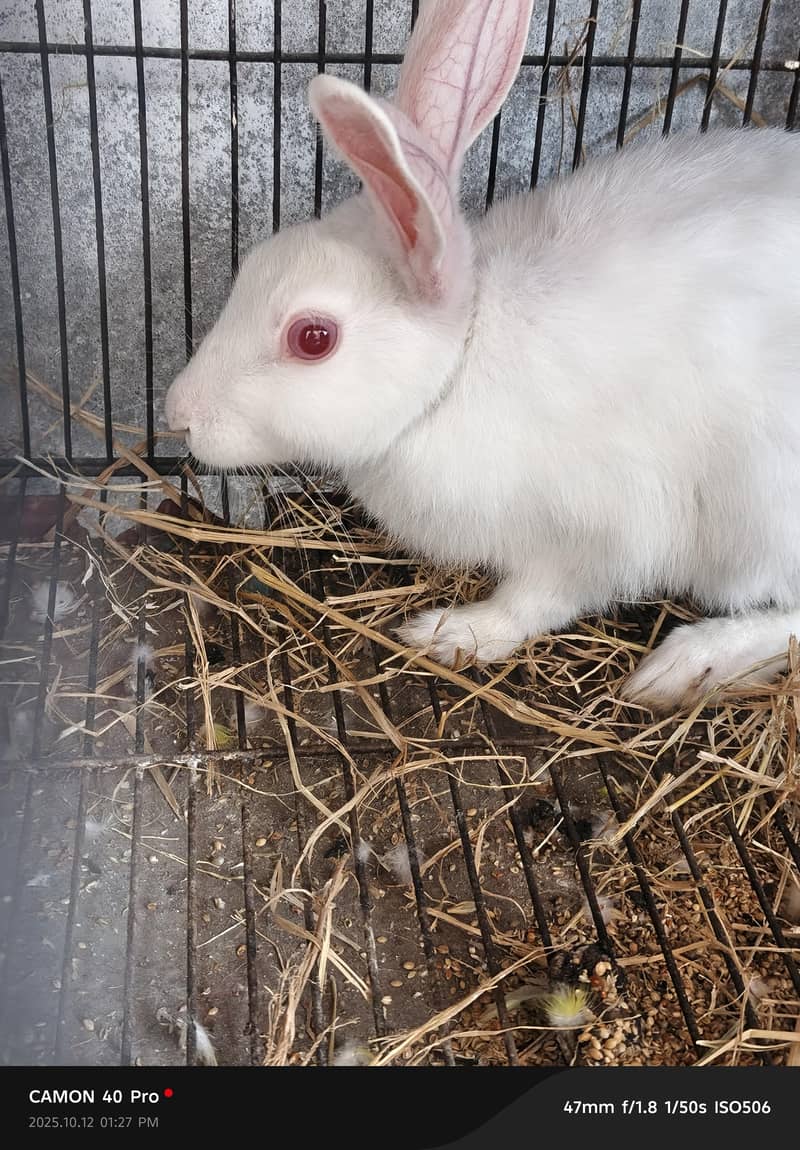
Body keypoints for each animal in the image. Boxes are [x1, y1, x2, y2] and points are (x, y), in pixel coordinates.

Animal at [165, 0, 800, 713]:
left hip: (763, 510)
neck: (460, 360)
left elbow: (536, 601)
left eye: (313, 338)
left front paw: (450, 633)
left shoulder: (595, 535)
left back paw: (685, 668)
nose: (177, 416)